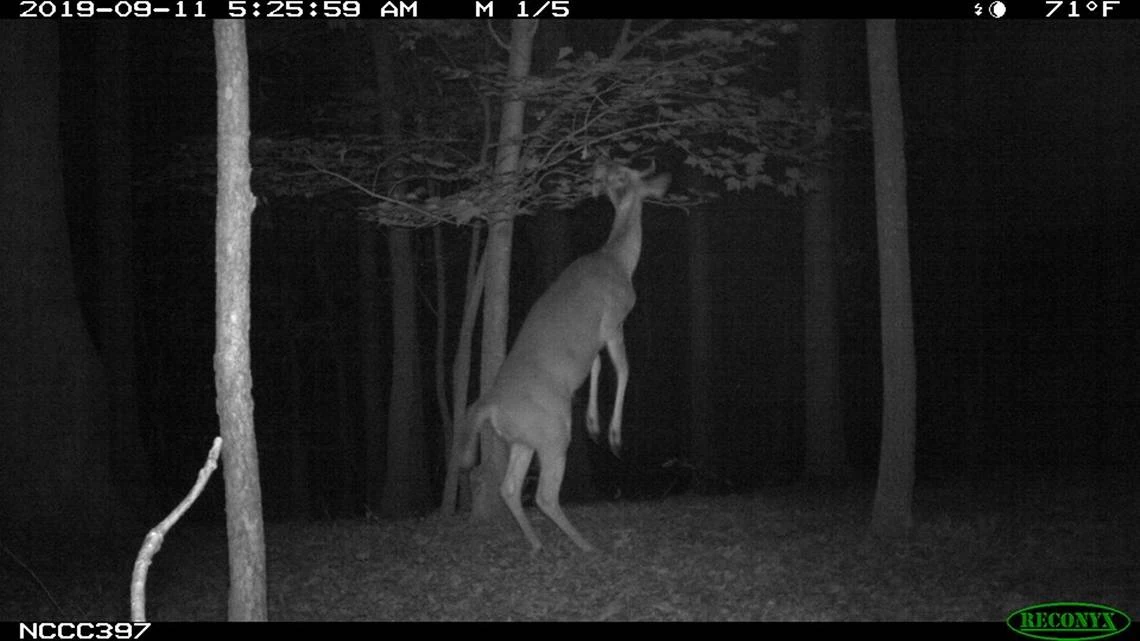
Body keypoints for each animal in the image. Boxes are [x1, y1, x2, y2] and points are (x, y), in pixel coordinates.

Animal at [458, 161, 670, 552]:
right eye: (624, 172)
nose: (601, 163)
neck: (617, 260)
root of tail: (489, 404)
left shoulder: (596, 338)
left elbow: (598, 365)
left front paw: (594, 424)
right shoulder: (614, 319)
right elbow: (623, 368)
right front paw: (613, 435)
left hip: (523, 437)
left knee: (510, 487)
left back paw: (537, 545)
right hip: (552, 432)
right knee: (543, 494)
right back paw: (585, 544)